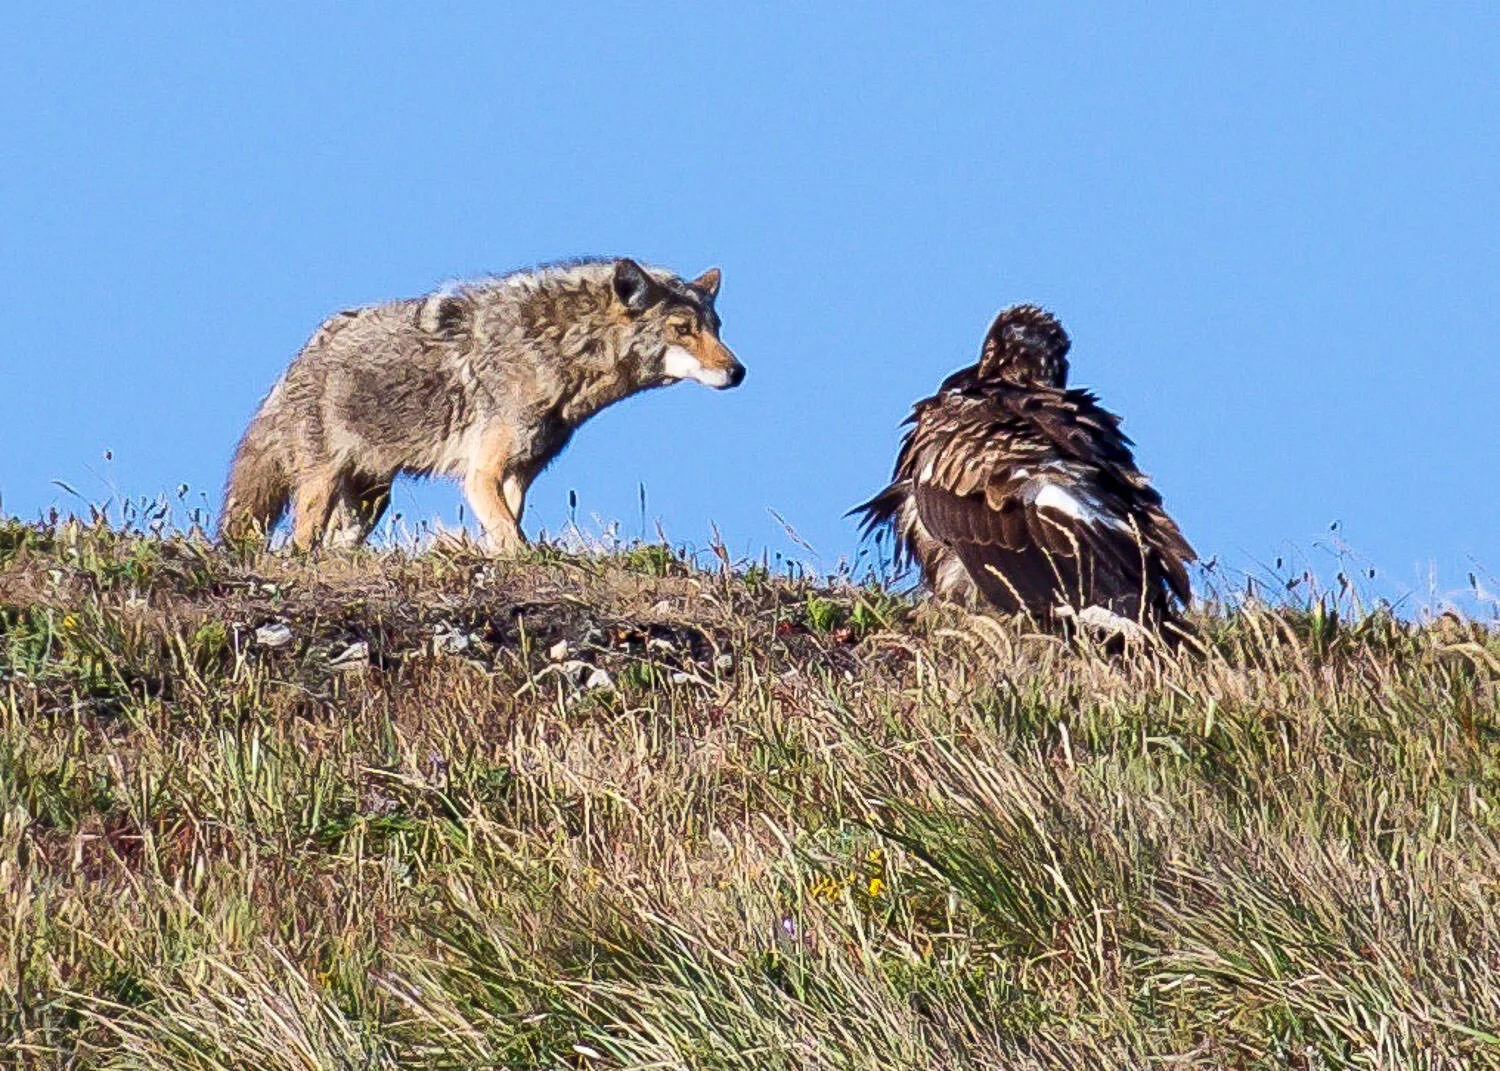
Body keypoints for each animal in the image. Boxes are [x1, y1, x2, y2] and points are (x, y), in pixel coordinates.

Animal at [220, 258, 744, 552]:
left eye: (717, 328)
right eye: (683, 330)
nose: (738, 372)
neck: (554, 351)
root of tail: (300, 358)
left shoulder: (517, 475)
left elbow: (505, 531)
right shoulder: (480, 474)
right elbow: (514, 541)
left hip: (371, 501)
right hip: (324, 485)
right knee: (300, 541)